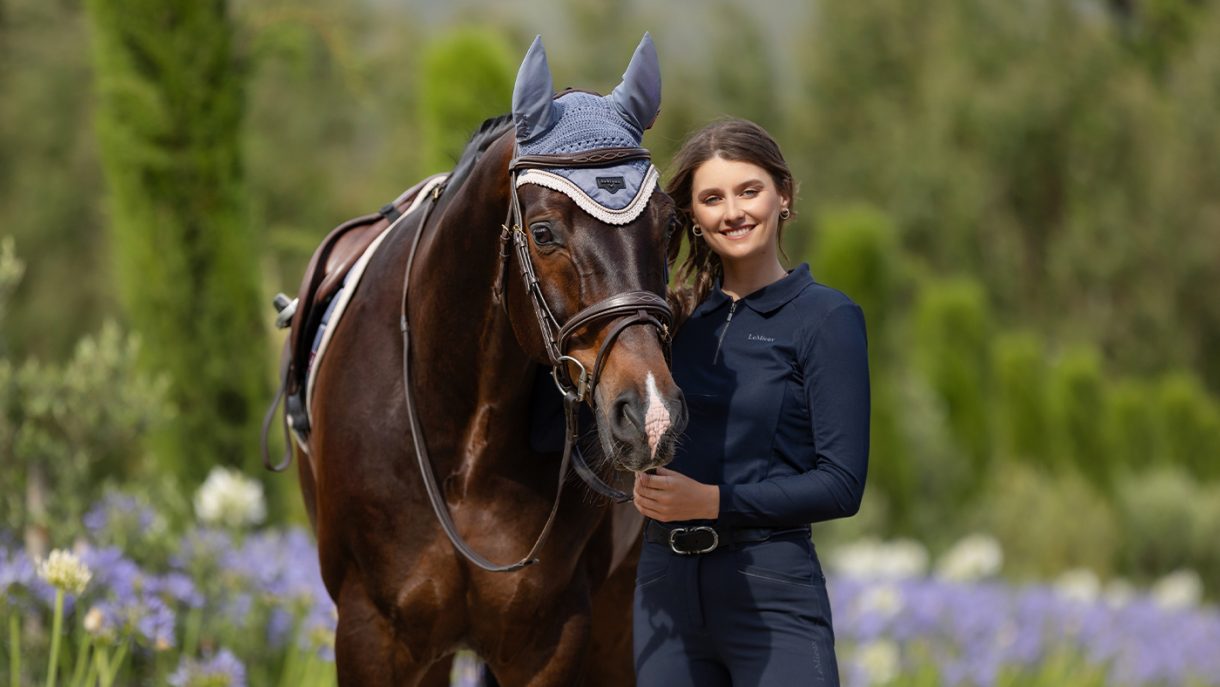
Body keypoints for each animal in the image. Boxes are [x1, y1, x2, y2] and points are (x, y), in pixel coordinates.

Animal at [276, 35, 686, 685]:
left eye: (670, 227)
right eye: (543, 233)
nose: (649, 412)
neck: (464, 441)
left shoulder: (551, 641)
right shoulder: (371, 635)